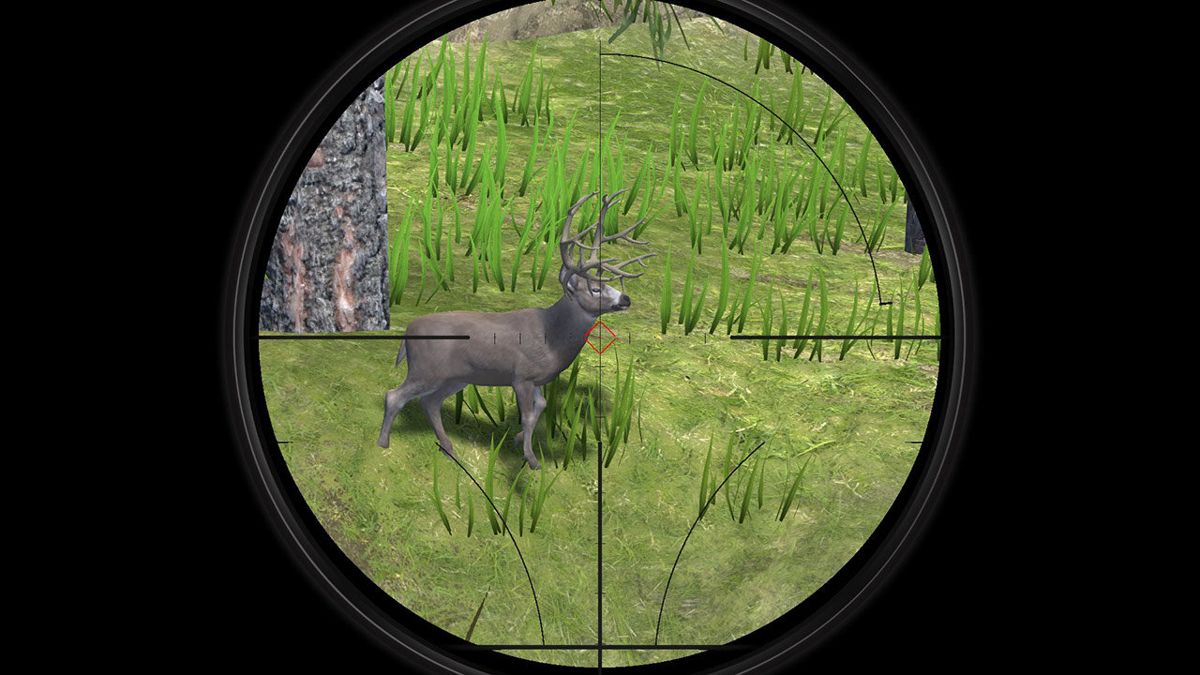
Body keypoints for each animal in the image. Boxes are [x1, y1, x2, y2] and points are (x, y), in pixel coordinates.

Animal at [377, 190, 655, 470]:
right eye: (596, 288)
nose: (626, 299)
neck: (552, 338)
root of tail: (408, 332)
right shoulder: (521, 376)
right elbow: (529, 415)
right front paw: (530, 458)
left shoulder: (538, 379)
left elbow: (541, 406)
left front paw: (519, 439)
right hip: (426, 369)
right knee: (394, 395)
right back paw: (383, 442)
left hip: (456, 377)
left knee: (430, 402)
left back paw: (448, 448)